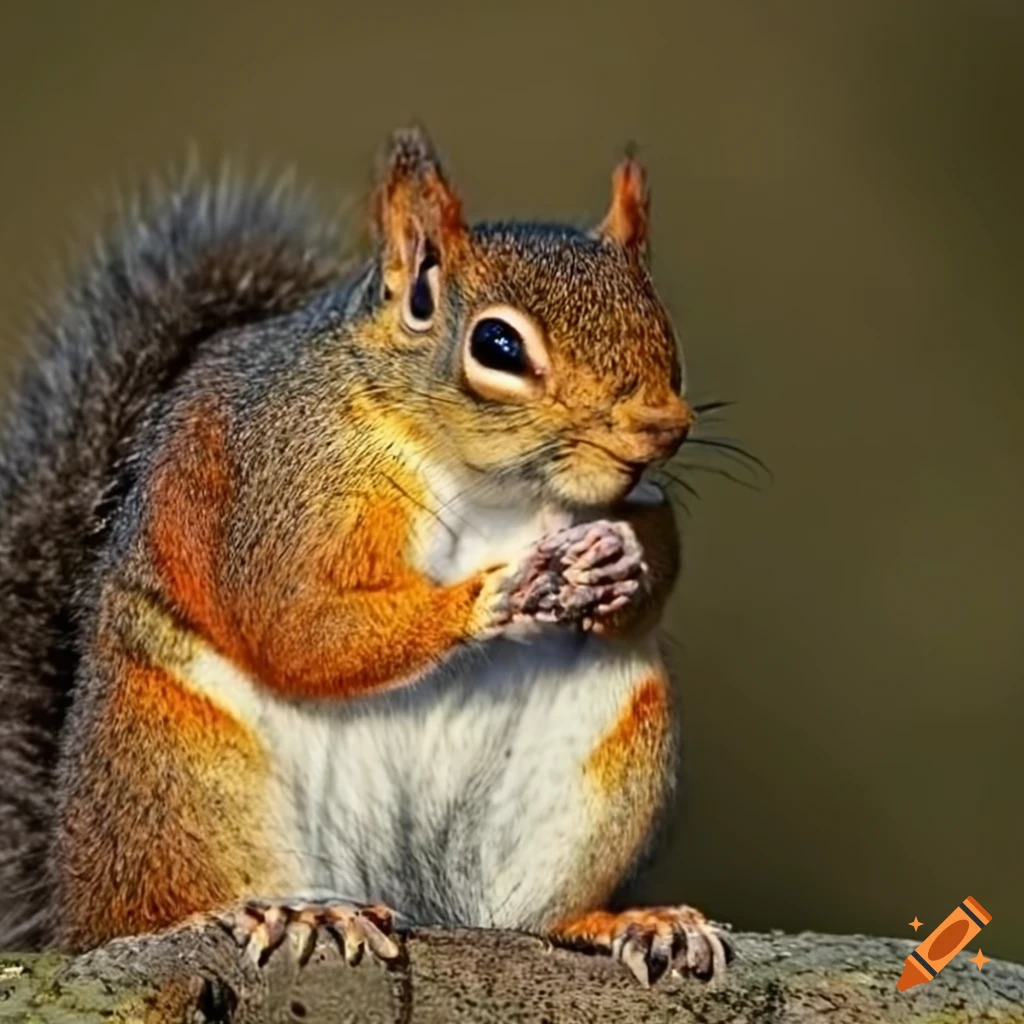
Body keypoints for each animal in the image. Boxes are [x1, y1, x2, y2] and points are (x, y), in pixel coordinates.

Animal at [0, 127, 731, 987]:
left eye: (663, 325)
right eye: (498, 345)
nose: (660, 428)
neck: (491, 485)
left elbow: (656, 545)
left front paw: (621, 560)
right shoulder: (285, 484)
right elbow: (296, 620)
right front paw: (494, 593)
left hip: (600, 757)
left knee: (534, 914)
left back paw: (630, 922)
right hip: (183, 774)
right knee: (168, 904)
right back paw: (292, 910)